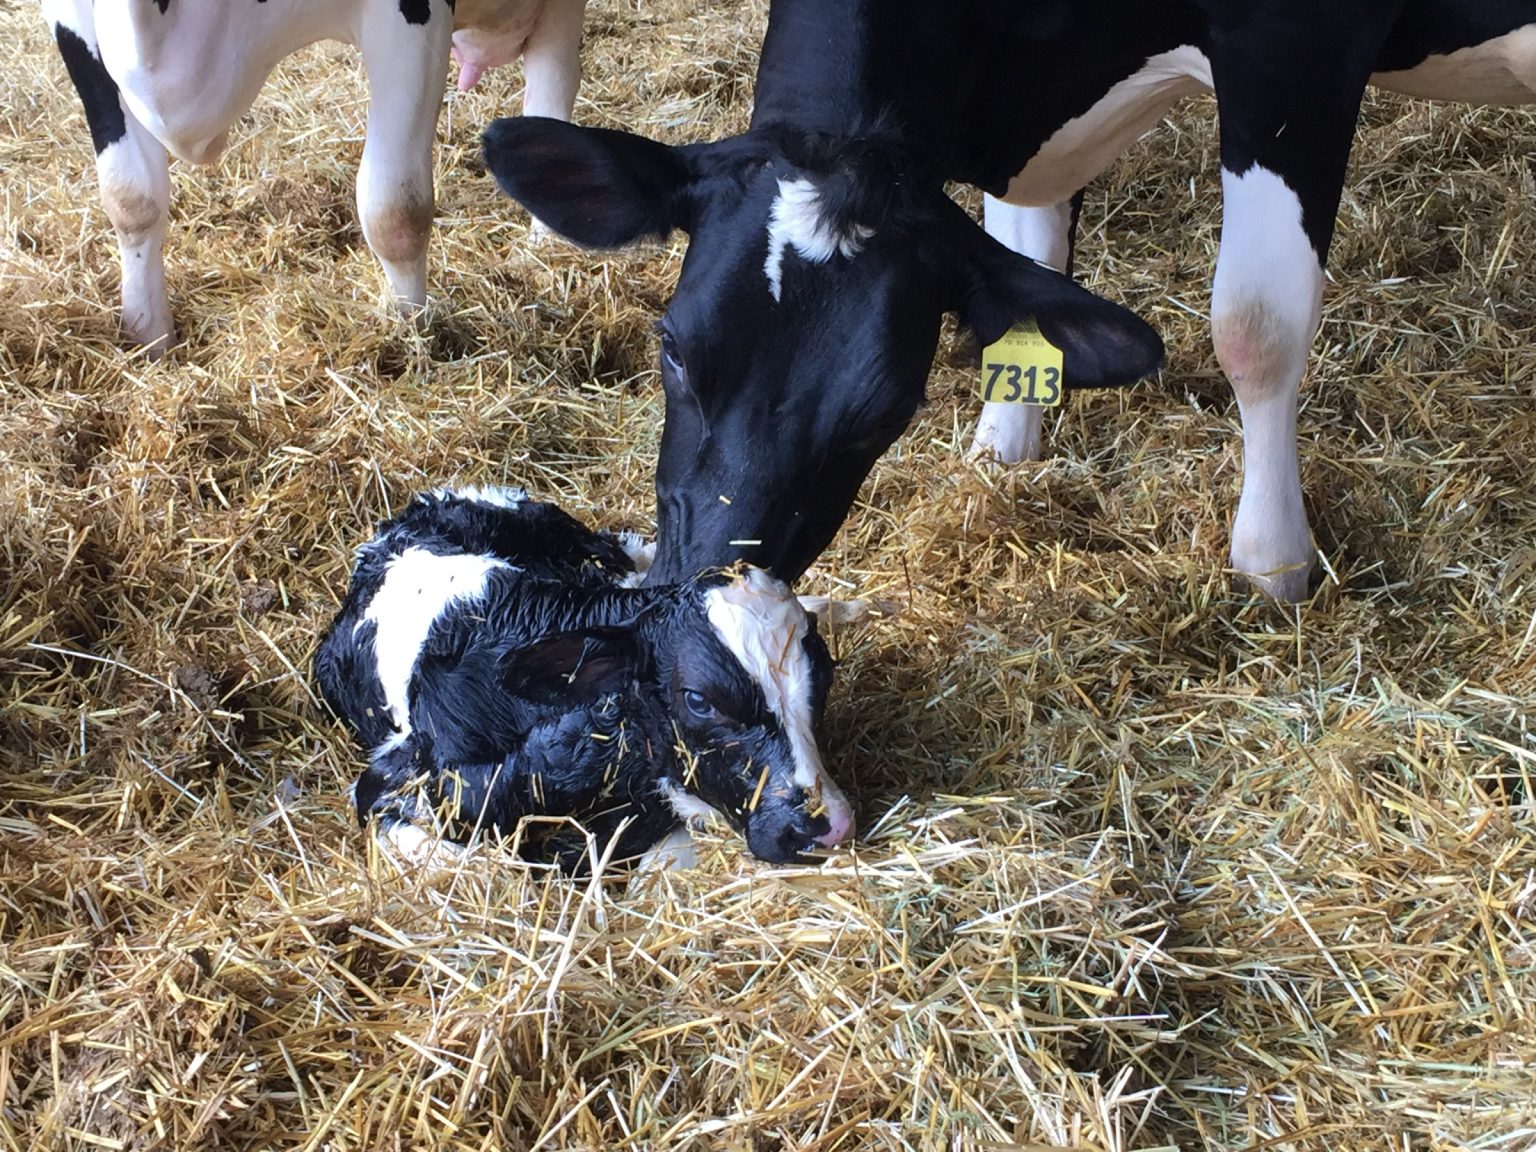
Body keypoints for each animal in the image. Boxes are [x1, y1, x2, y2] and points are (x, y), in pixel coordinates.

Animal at [42, 0, 587, 353]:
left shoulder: (410, 15)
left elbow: (394, 211)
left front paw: (412, 338)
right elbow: (129, 195)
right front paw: (150, 338)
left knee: (554, 83)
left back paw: (549, 254)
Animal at [314, 486, 856, 870]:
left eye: (824, 678)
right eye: (699, 700)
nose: (829, 827)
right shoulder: (402, 771)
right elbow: (474, 865)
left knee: (624, 551)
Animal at [481, 0, 1536, 602]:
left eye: (884, 411)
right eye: (672, 349)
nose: (693, 596)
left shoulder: (1295, 48)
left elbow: (1256, 324)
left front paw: (1273, 561)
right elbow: (1024, 251)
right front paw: (1003, 449)